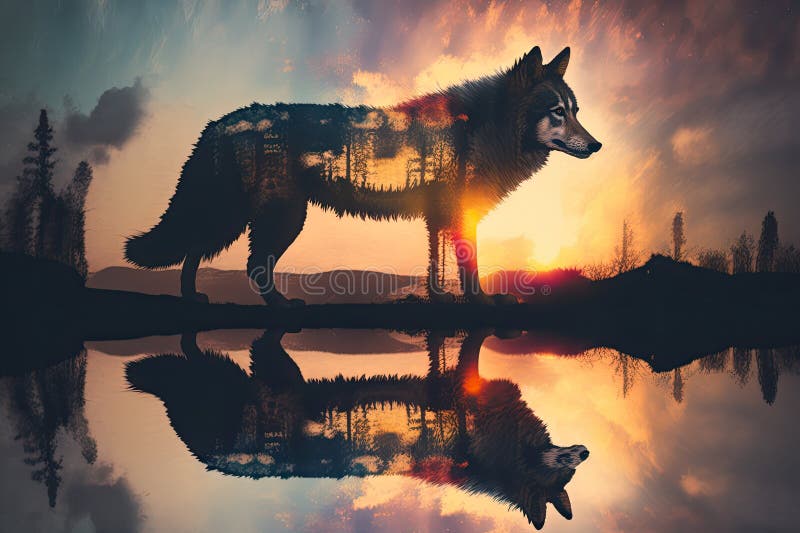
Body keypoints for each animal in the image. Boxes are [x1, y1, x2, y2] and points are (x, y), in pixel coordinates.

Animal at [125, 46, 600, 305]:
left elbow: (436, 265)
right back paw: (280, 306)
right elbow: (470, 267)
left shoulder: (437, 217)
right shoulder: (459, 216)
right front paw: (482, 301)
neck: (485, 127)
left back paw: (191, 296)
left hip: (243, 215)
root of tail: (220, 122)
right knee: (251, 264)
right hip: (277, 218)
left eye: (576, 110)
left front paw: (439, 297)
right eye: (558, 112)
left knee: (195, 250)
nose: (597, 146)